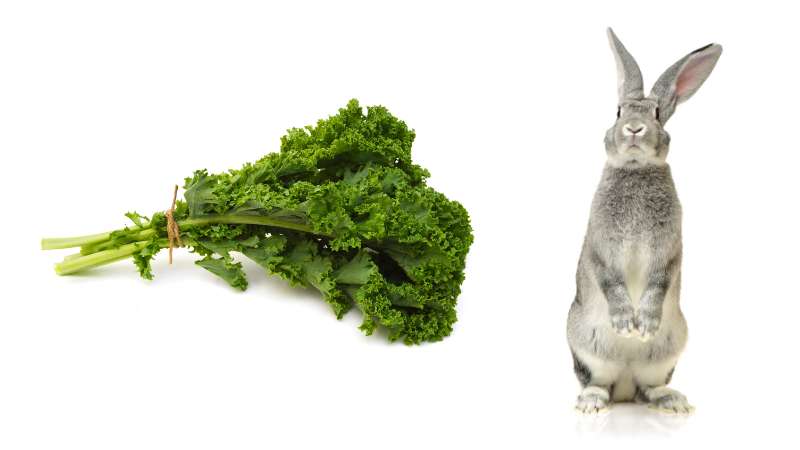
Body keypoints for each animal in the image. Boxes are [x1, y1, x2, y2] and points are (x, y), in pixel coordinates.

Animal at [567, 28, 722, 414]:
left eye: (657, 114)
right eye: (618, 111)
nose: (634, 129)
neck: (636, 170)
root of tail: (624, 384)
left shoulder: (668, 251)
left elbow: (658, 281)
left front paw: (644, 326)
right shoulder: (600, 247)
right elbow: (609, 280)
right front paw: (626, 324)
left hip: (666, 352)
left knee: (647, 388)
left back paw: (673, 401)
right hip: (587, 348)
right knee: (598, 383)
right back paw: (592, 403)